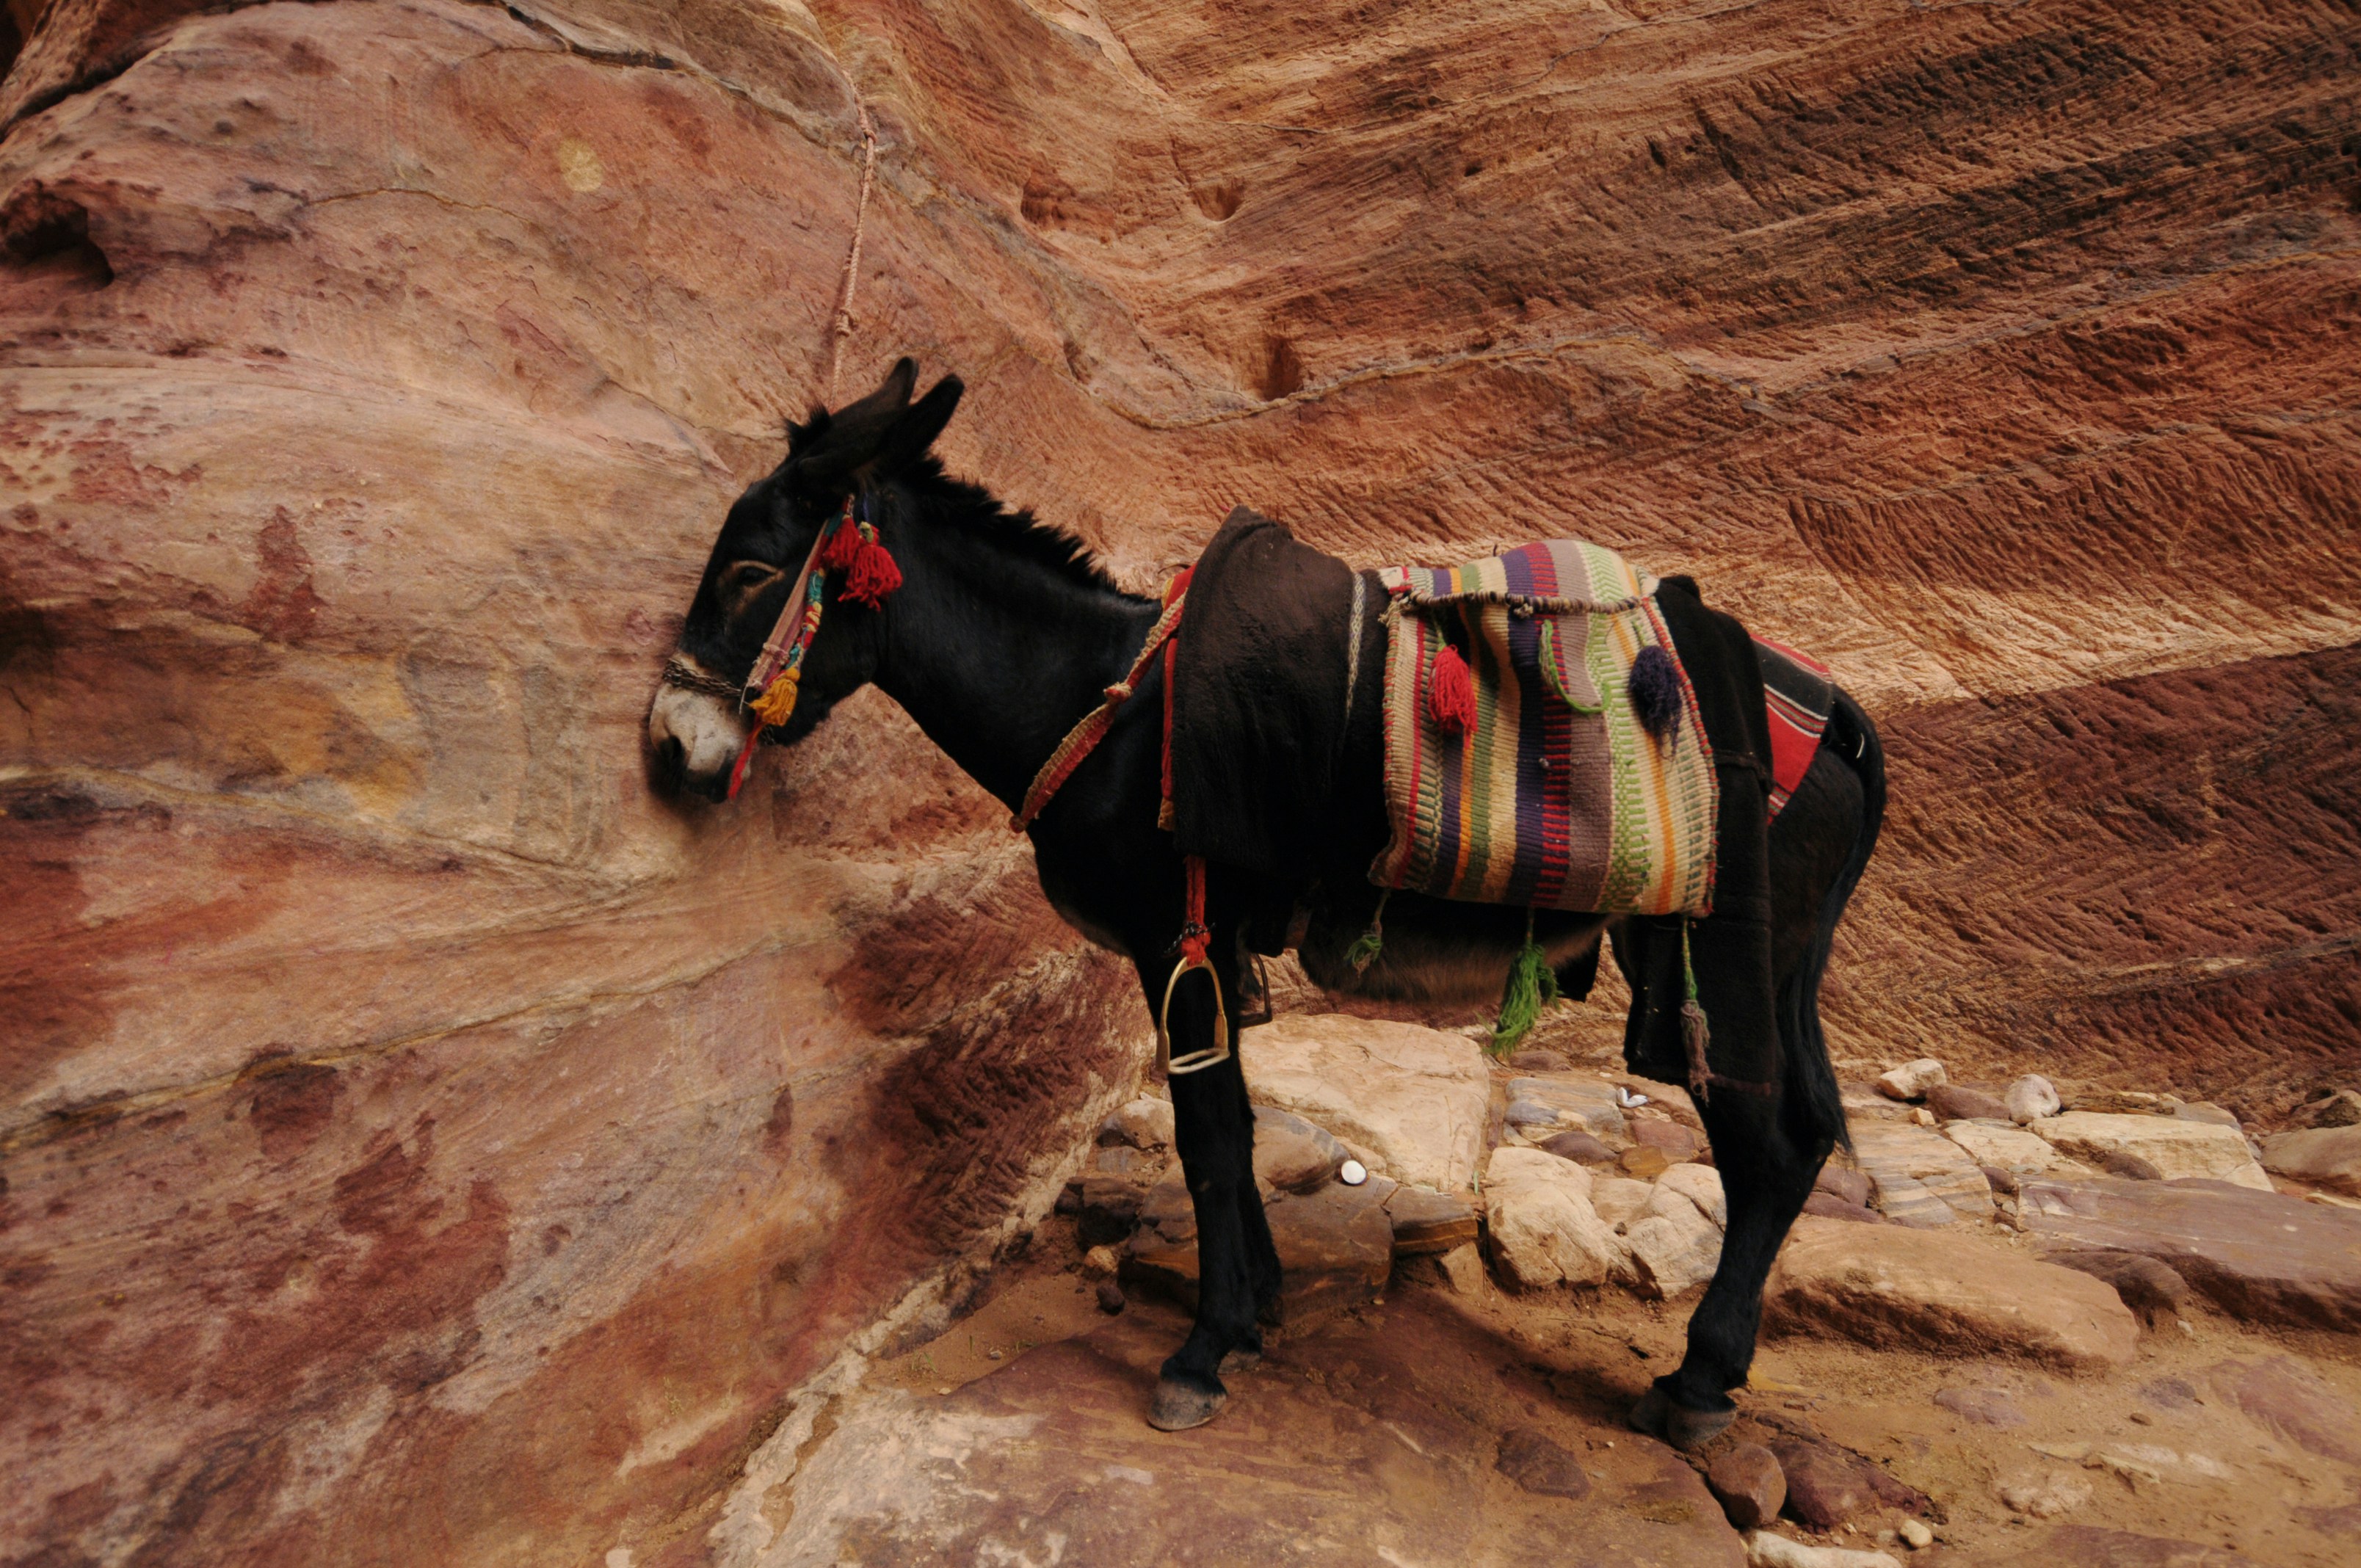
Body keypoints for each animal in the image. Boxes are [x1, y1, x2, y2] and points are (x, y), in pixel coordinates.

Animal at [647, 359, 1885, 1446]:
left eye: (750, 573)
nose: (666, 743)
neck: (1103, 704)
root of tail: (1834, 711)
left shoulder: (1168, 935)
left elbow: (1204, 1134)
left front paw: (1204, 1350)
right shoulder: (1212, 944)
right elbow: (1235, 1123)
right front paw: (1259, 1308)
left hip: (1717, 950)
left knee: (1770, 1143)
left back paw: (1698, 1386)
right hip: (1778, 964)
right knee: (1806, 1134)